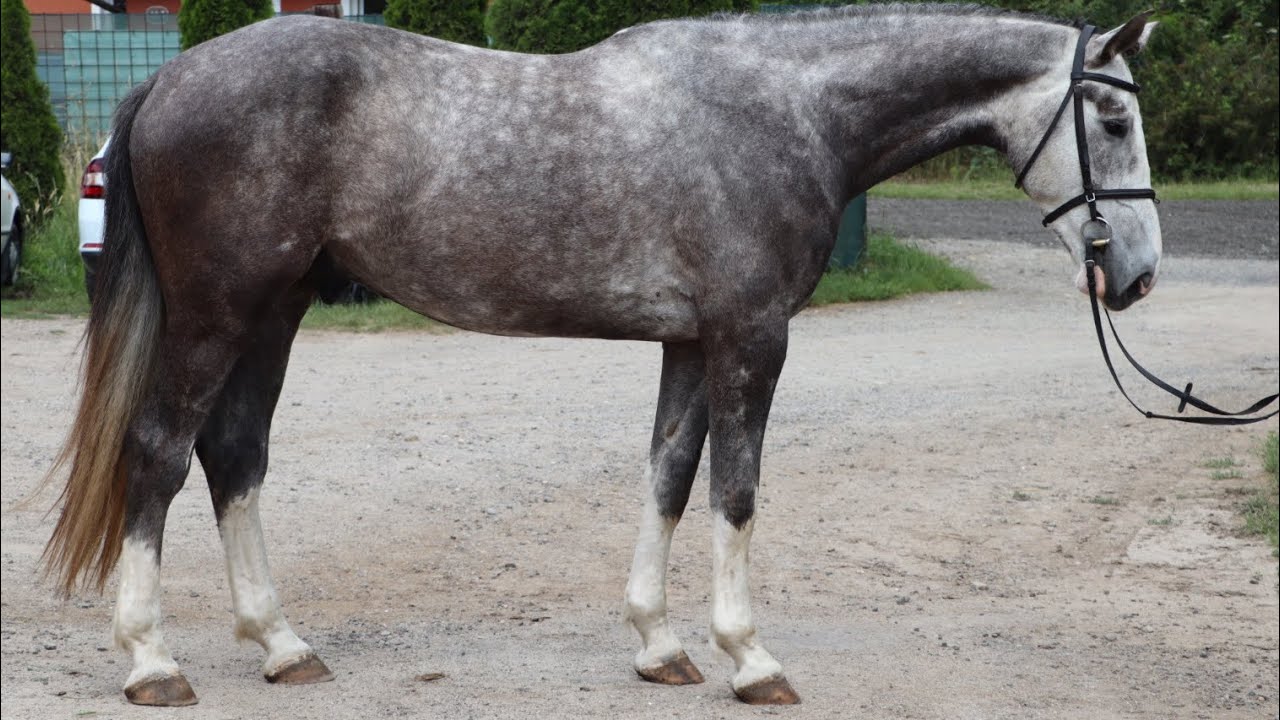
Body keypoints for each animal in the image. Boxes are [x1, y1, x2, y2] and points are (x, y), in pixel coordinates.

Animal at [42, 4, 1161, 707]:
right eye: (1110, 115)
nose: (1139, 274)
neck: (782, 110)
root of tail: (171, 75)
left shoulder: (689, 341)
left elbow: (668, 475)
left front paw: (660, 646)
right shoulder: (752, 336)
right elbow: (735, 490)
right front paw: (750, 659)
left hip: (273, 314)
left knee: (234, 456)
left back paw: (282, 646)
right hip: (217, 315)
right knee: (158, 454)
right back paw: (151, 664)